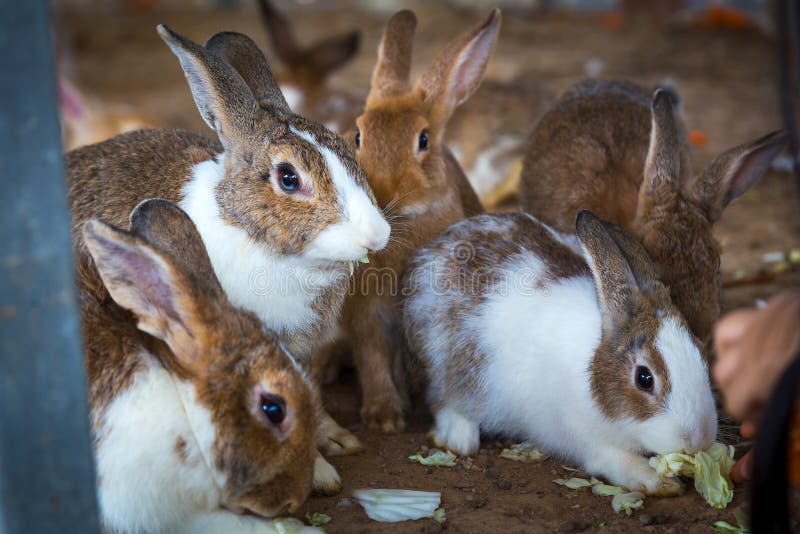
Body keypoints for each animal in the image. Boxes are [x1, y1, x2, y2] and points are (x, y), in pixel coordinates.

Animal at [333, 9, 495, 433]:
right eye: (358, 134)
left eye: (423, 140)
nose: (380, 190)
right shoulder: (366, 314)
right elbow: (372, 357)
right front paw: (384, 416)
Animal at [401, 209, 719, 495]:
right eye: (644, 378)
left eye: (703, 355)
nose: (698, 440)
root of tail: (437, 246)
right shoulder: (583, 437)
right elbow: (616, 460)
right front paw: (658, 482)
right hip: (443, 363)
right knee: (443, 401)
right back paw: (460, 438)